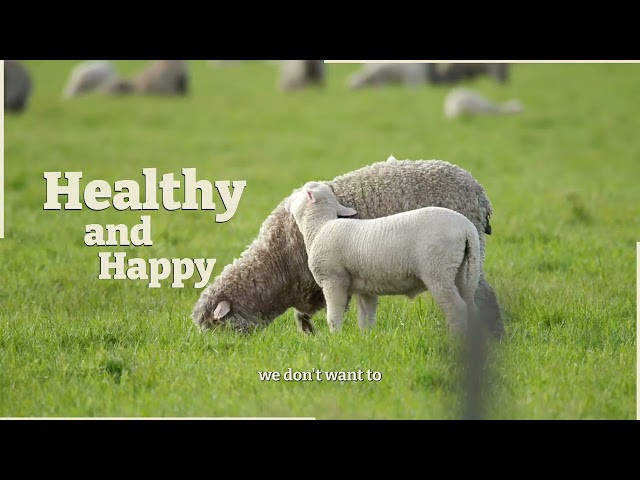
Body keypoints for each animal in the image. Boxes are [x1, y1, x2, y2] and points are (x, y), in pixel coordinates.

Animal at [284, 181, 482, 335]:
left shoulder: (333, 280)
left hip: (438, 270)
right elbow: (366, 317)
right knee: (470, 304)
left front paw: (335, 339)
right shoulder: (364, 289)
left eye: (303, 189)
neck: (319, 226)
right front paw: (366, 339)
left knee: (456, 308)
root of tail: (466, 227)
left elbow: (333, 317)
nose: (287, 200)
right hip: (462, 270)